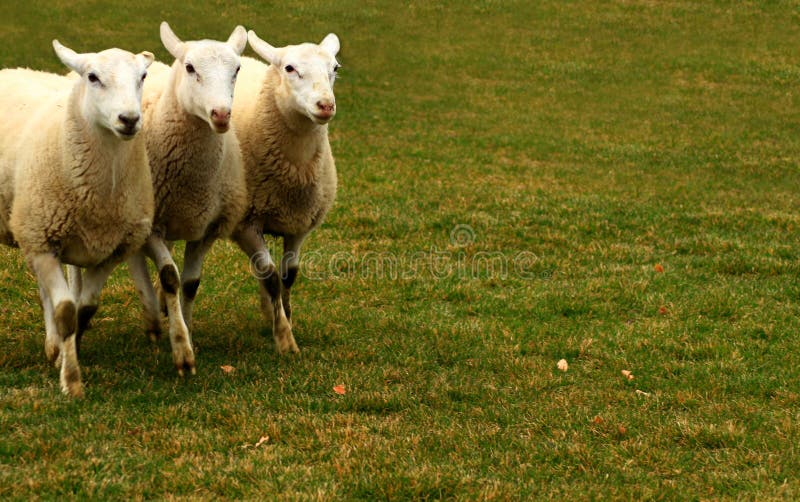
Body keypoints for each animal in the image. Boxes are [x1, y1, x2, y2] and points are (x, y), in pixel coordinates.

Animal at [0, 41, 155, 397]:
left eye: (143, 77)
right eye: (92, 77)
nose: (129, 119)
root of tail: (8, 70)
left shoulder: (112, 250)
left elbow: (85, 307)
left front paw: (66, 355)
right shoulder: (42, 239)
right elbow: (66, 311)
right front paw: (71, 381)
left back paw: (53, 347)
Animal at [126, 22, 247, 375]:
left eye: (237, 69)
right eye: (191, 67)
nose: (221, 114)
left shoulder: (208, 226)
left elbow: (191, 281)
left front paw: (187, 328)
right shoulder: (152, 226)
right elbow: (170, 277)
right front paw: (181, 349)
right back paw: (154, 317)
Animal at [230, 30, 340, 354]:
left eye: (335, 68)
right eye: (289, 68)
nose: (325, 105)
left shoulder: (300, 224)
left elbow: (288, 275)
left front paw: (285, 317)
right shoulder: (246, 225)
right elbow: (270, 277)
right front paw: (285, 339)